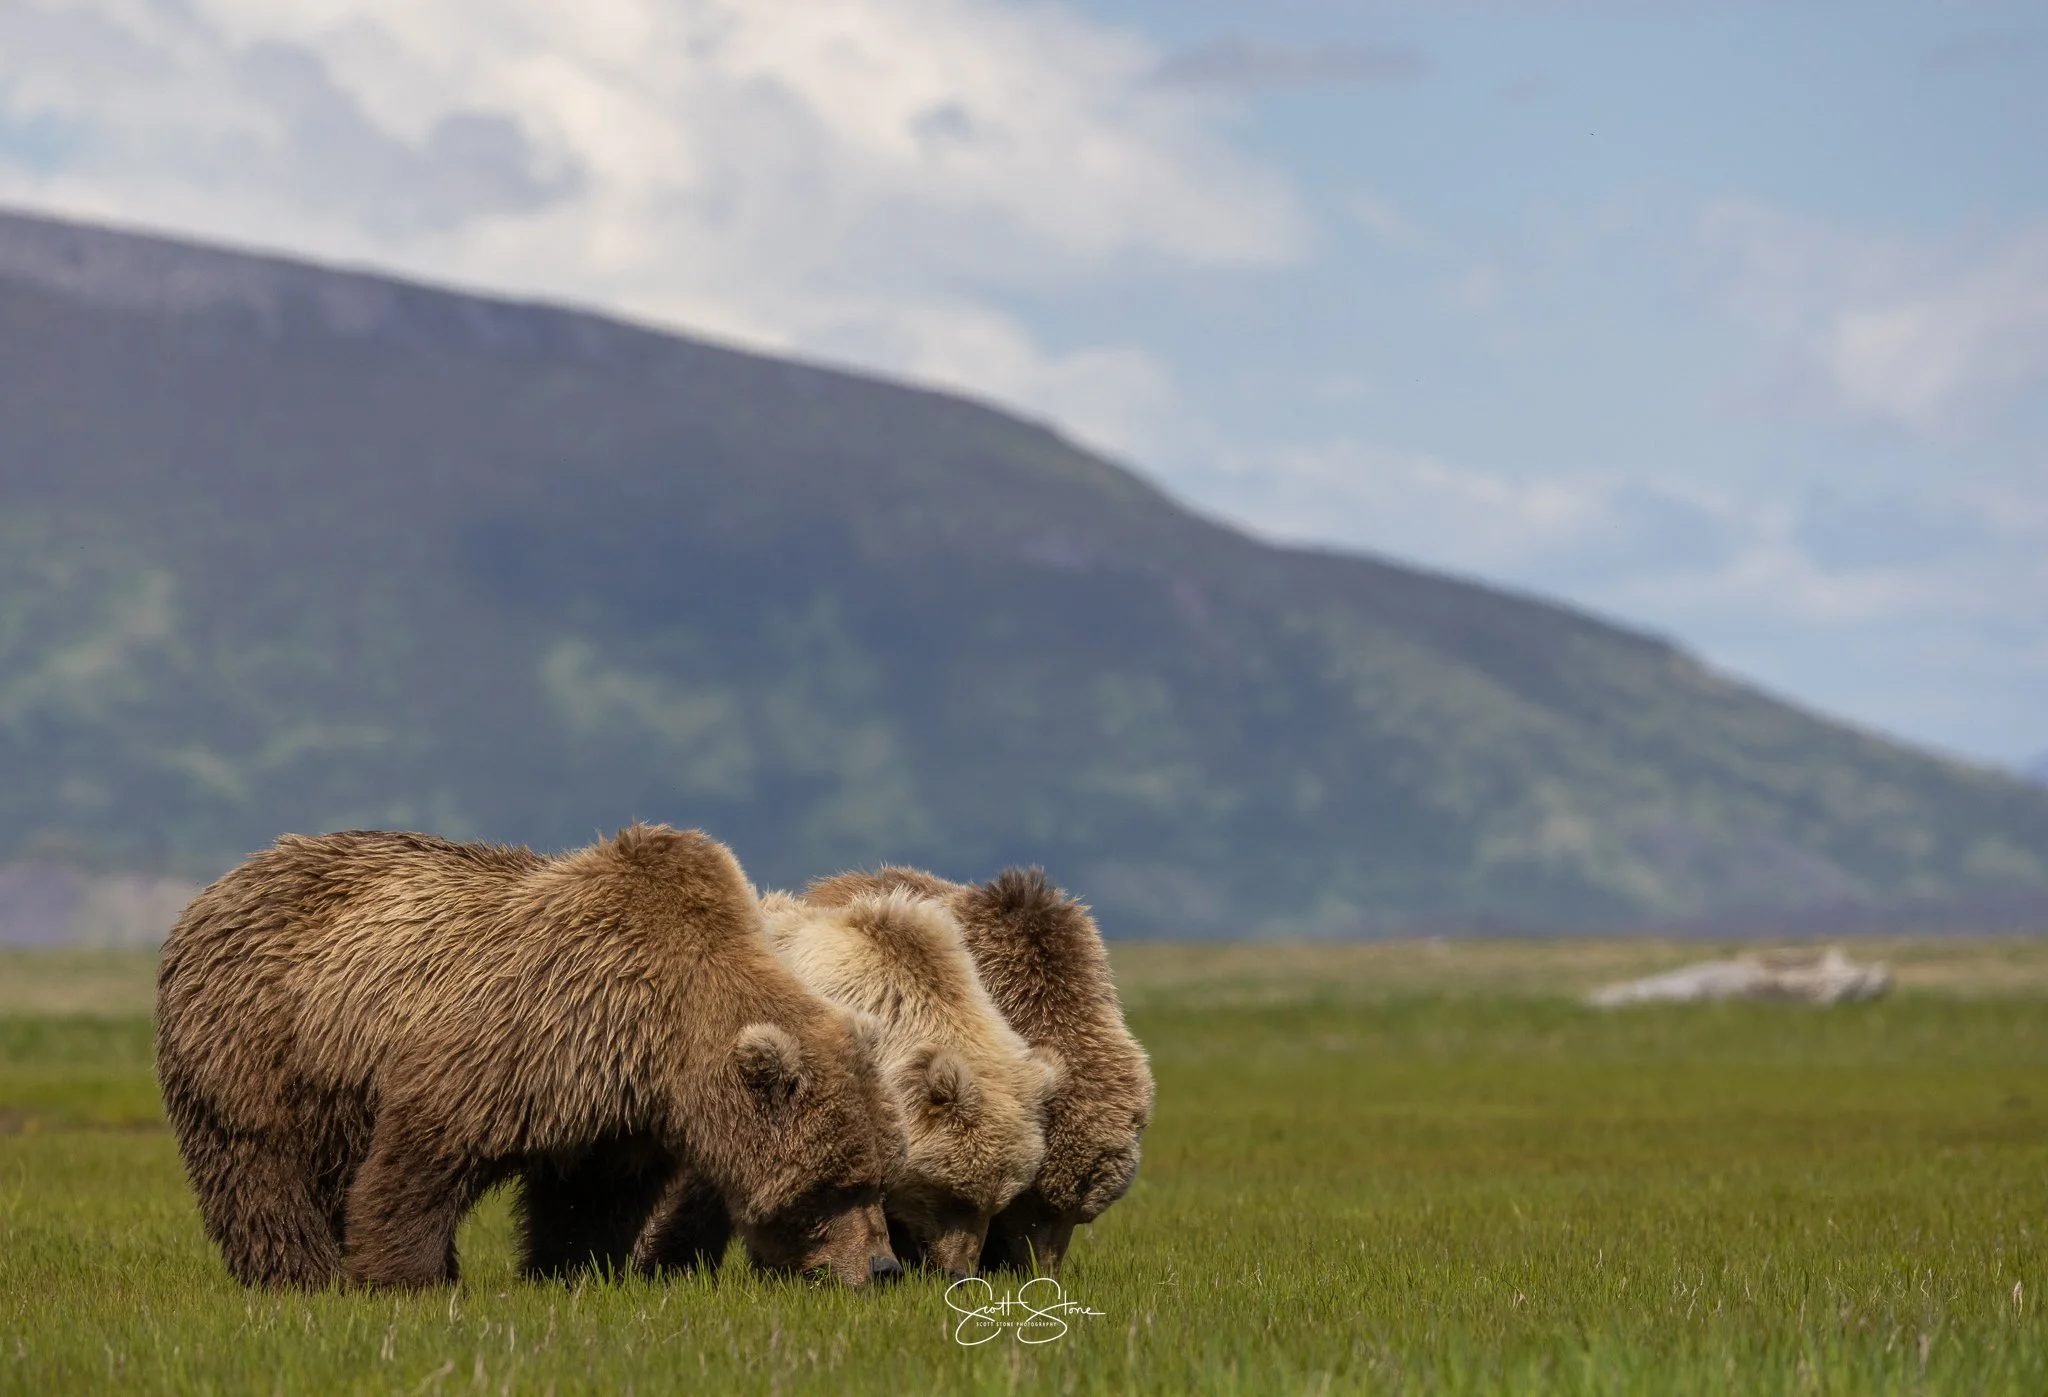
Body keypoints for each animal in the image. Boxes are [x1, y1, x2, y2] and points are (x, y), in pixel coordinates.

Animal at [155, 824, 904, 1291]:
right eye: (832, 1184)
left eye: (876, 1177)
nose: (882, 1268)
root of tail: (212, 890)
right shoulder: (529, 1033)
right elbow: (423, 1153)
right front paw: (405, 1275)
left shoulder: (615, 1103)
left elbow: (591, 1196)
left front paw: (573, 1269)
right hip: (256, 1044)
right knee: (259, 1167)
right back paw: (299, 1274)